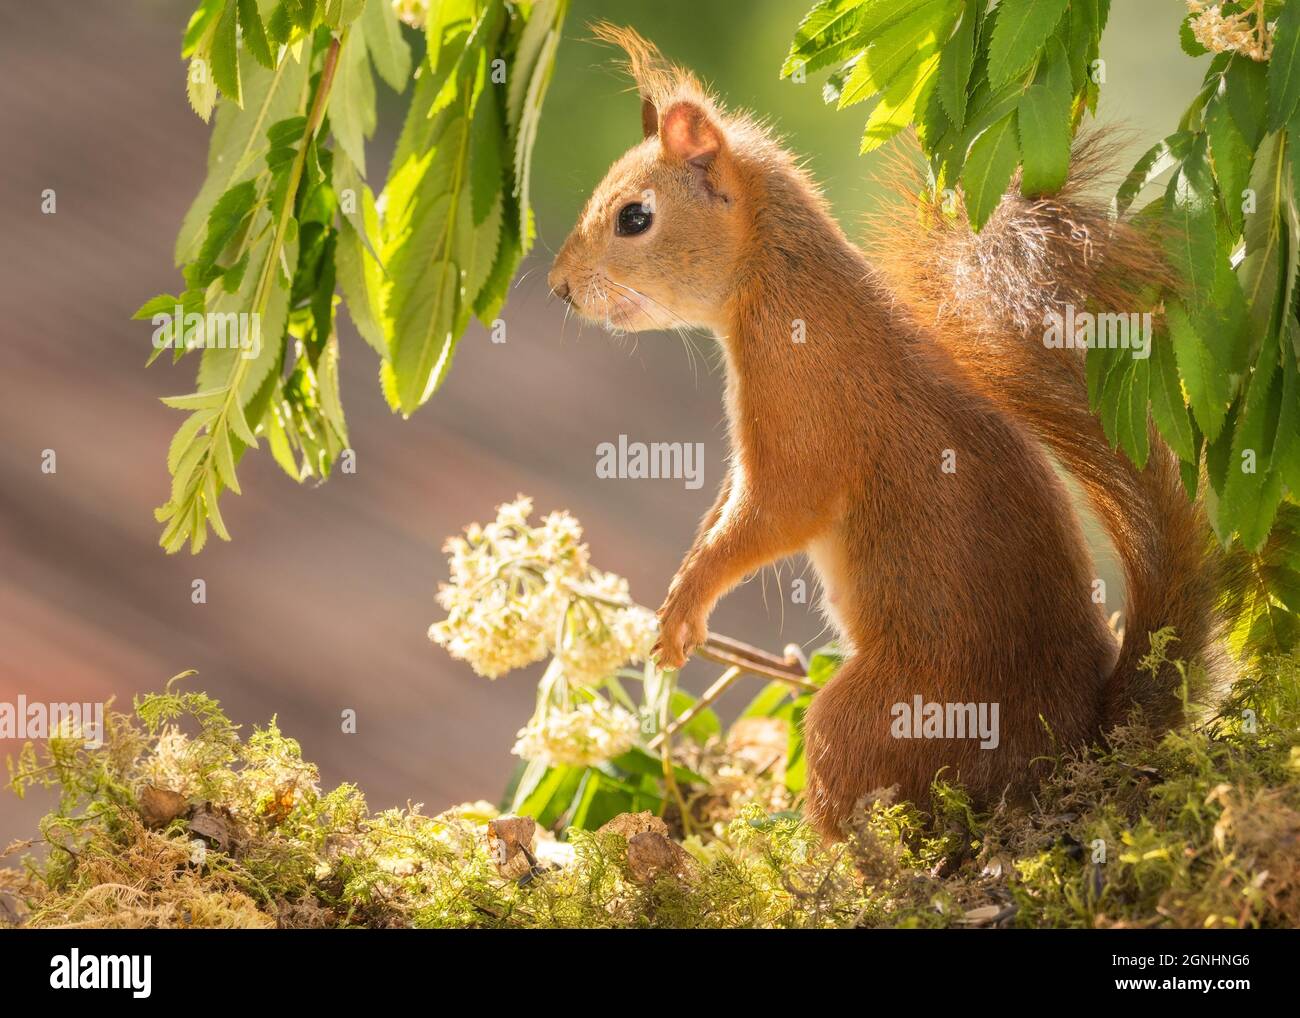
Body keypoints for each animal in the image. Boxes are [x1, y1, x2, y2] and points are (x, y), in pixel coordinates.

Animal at [548, 25, 1225, 840]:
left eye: (634, 218)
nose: (558, 287)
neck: (780, 285)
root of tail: (1070, 748)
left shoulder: (804, 412)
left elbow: (774, 512)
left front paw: (685, 605)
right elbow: (728, 504)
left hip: (880, 713)